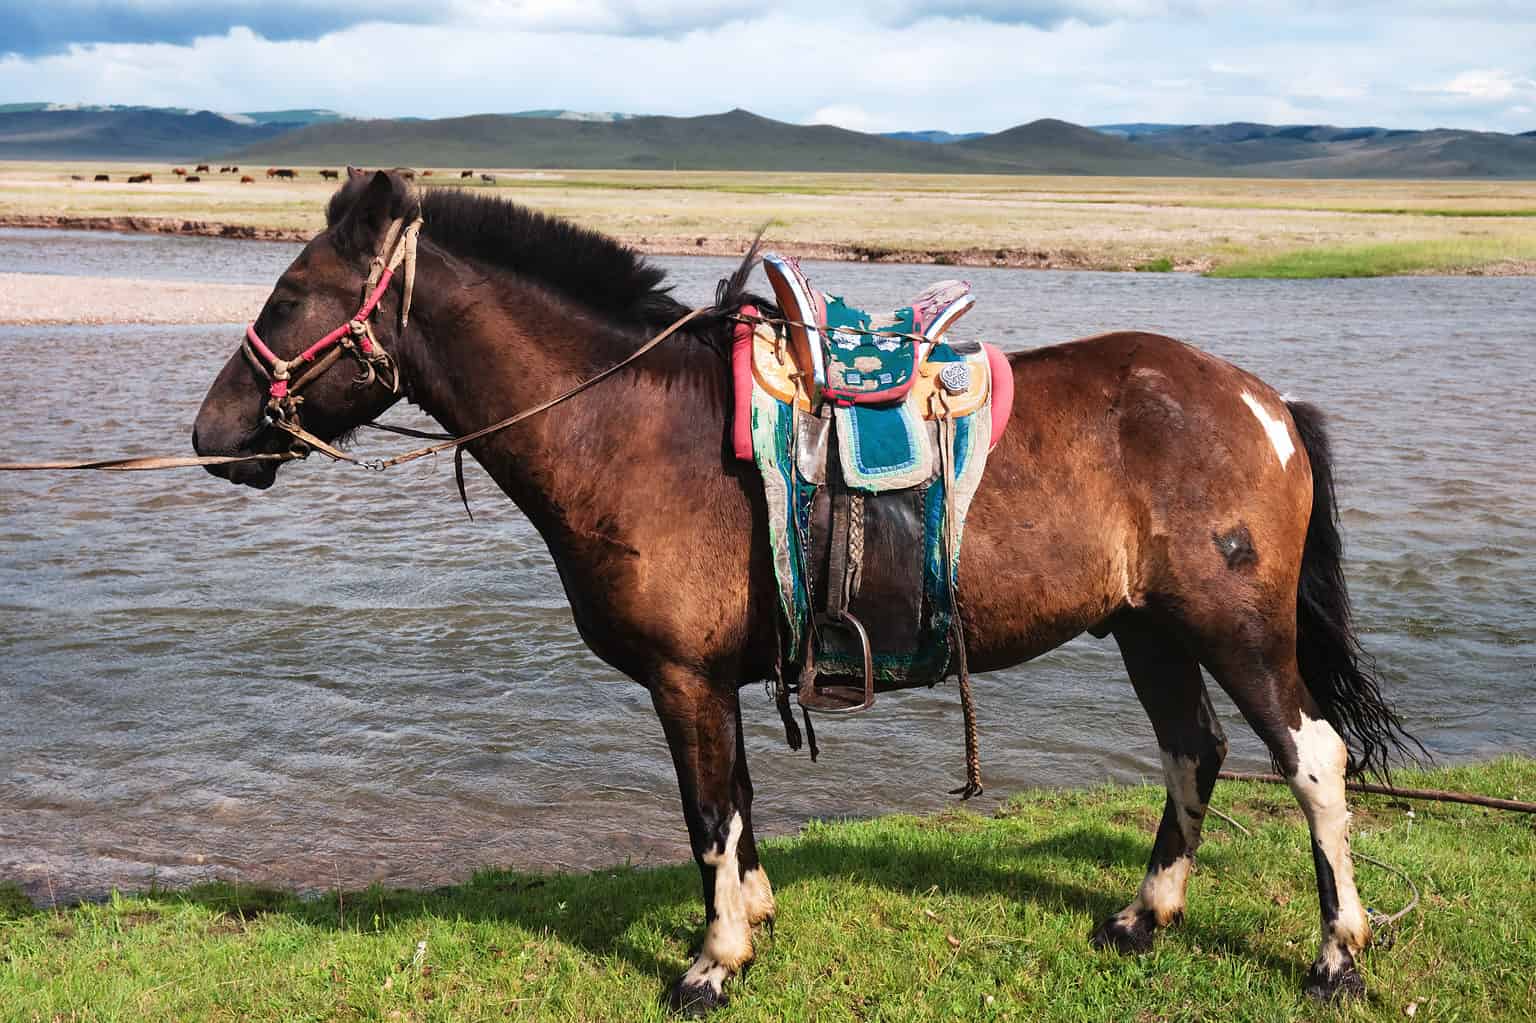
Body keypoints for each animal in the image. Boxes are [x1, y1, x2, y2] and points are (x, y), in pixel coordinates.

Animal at [191, 170, 1418, 1013]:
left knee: (1311, 760)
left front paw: (712, 962)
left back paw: (1336, 956)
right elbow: (736, 805)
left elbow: (705, 815)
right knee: (1191, 753)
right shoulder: (718, 680)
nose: (210, 435)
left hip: (1234, 628)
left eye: (295, 292)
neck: (629, 426)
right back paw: (1141, 920)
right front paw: (754, 919)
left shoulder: (683, 680)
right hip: (1148, 630)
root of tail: (1264, 401)